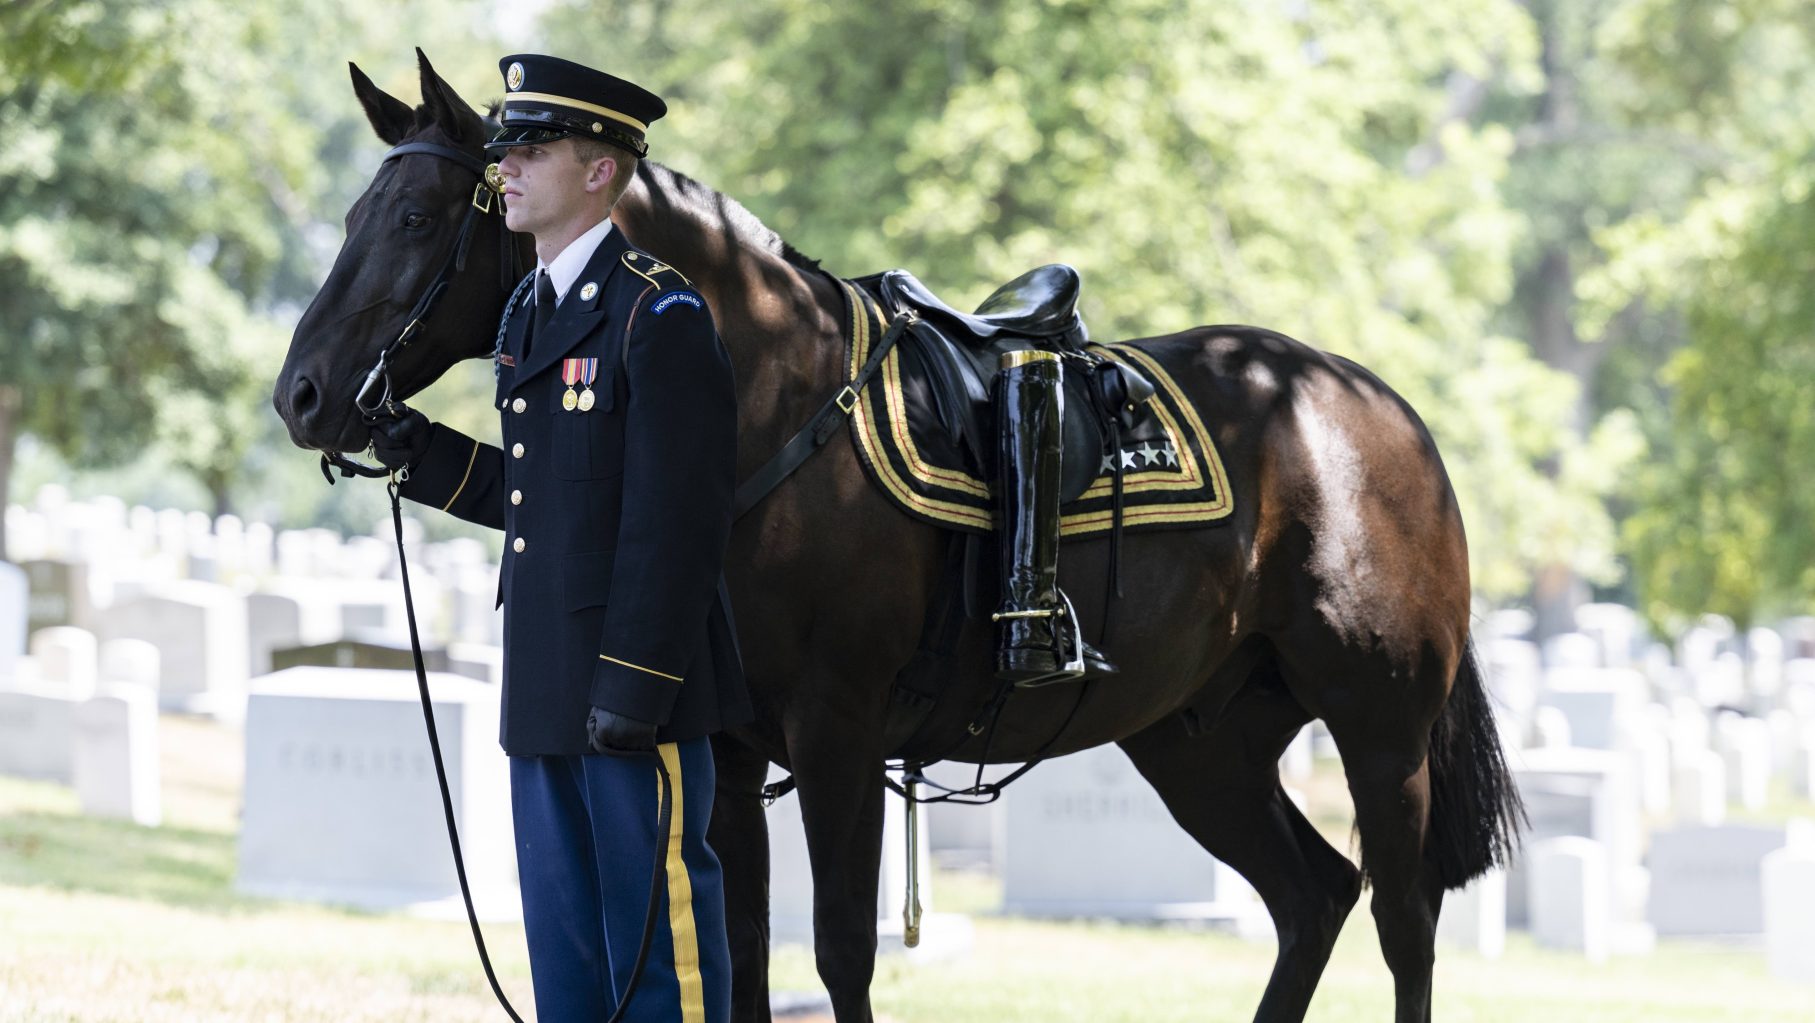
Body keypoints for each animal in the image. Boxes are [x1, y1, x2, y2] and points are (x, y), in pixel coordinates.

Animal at [273, 53, 1521, 1023]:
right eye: (353, 218)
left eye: (419, 219)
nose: (304, 394)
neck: (770, 401)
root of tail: (1374, 405)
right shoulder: (724, 751)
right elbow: (739, 955)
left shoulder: (836, 740)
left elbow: (837, 956)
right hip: (1195, 742)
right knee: (1313, 899)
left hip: (1380, 732)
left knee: (1405, 922)